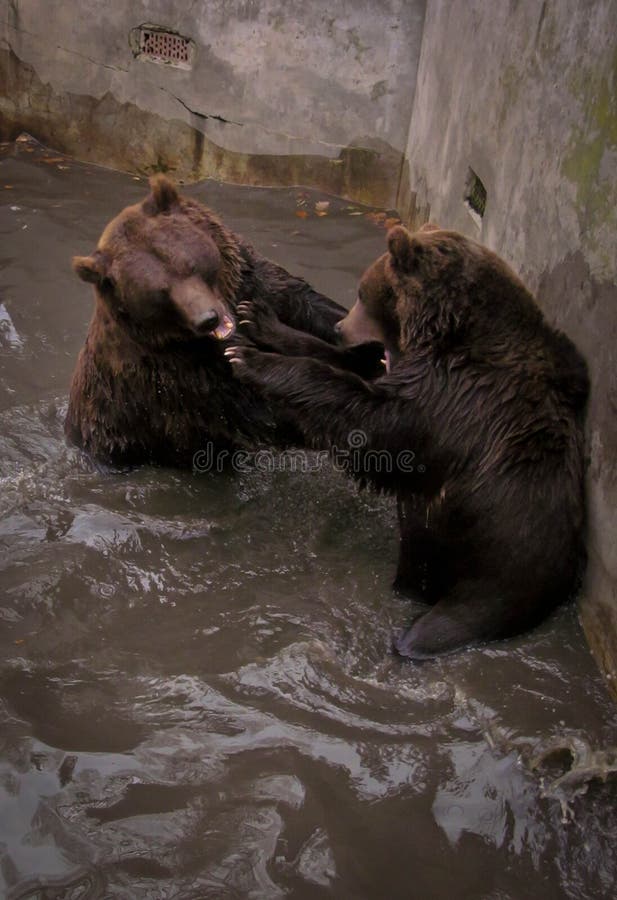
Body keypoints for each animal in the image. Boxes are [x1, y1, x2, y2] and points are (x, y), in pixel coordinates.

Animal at [65, 175, 384, 467]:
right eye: (160, 292)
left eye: (188, 265)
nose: (207, 318)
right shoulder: (177, 374)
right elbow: (255, 410)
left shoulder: (254, 279)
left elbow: (307, 305)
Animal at [226, 223, 590, 658]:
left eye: (363, 292)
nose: (340, 327)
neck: (444, 330)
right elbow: (353, 366)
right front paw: (257, 319)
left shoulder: (454, 396)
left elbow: (372, 421)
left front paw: (250, 359)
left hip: (470, 546)